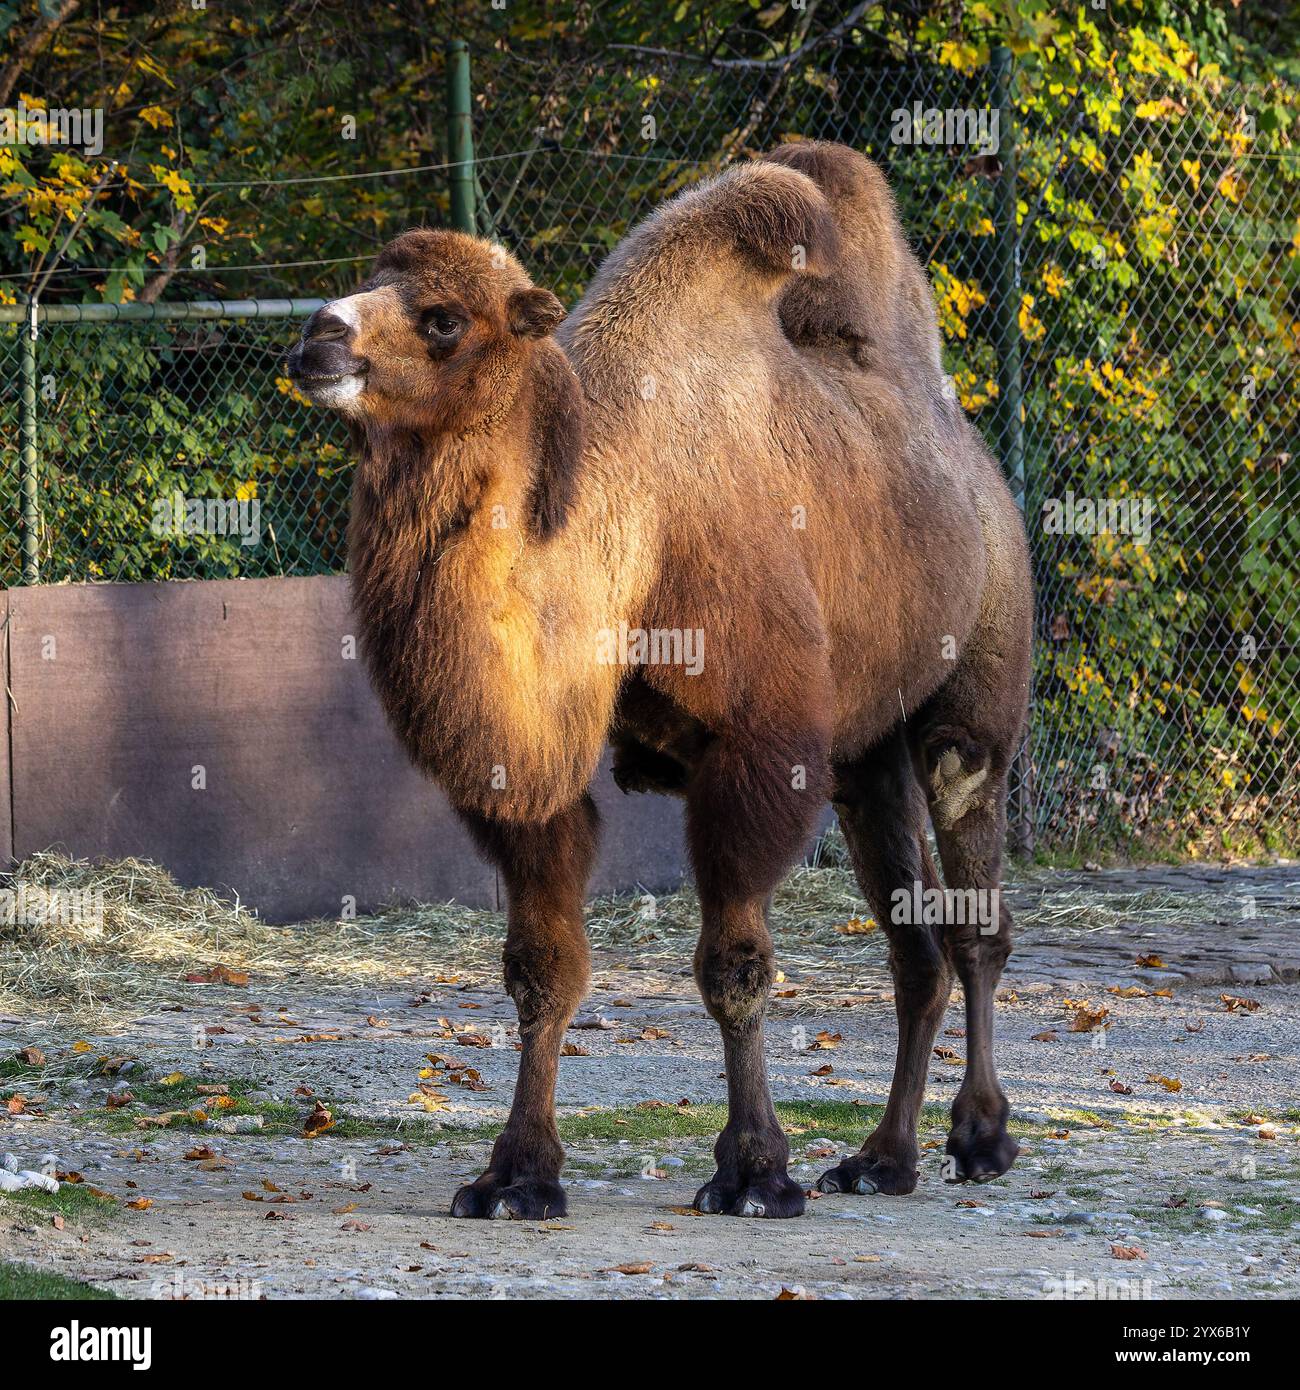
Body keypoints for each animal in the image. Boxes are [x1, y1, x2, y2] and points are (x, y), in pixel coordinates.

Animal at [285, 141, 1032, 1220]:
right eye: (369, 280)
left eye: (442, 317)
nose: (319, 336)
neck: (629, 528)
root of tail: (982, 476)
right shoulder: (539, 763)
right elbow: (541, 968)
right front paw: (516, 1175)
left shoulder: (757, 748)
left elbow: (734, 968)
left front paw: (754, 1171)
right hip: (864, 750)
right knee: (913, 947)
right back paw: (881, 1158)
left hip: (971, 700)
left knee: (974, 911)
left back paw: (979, 1139)